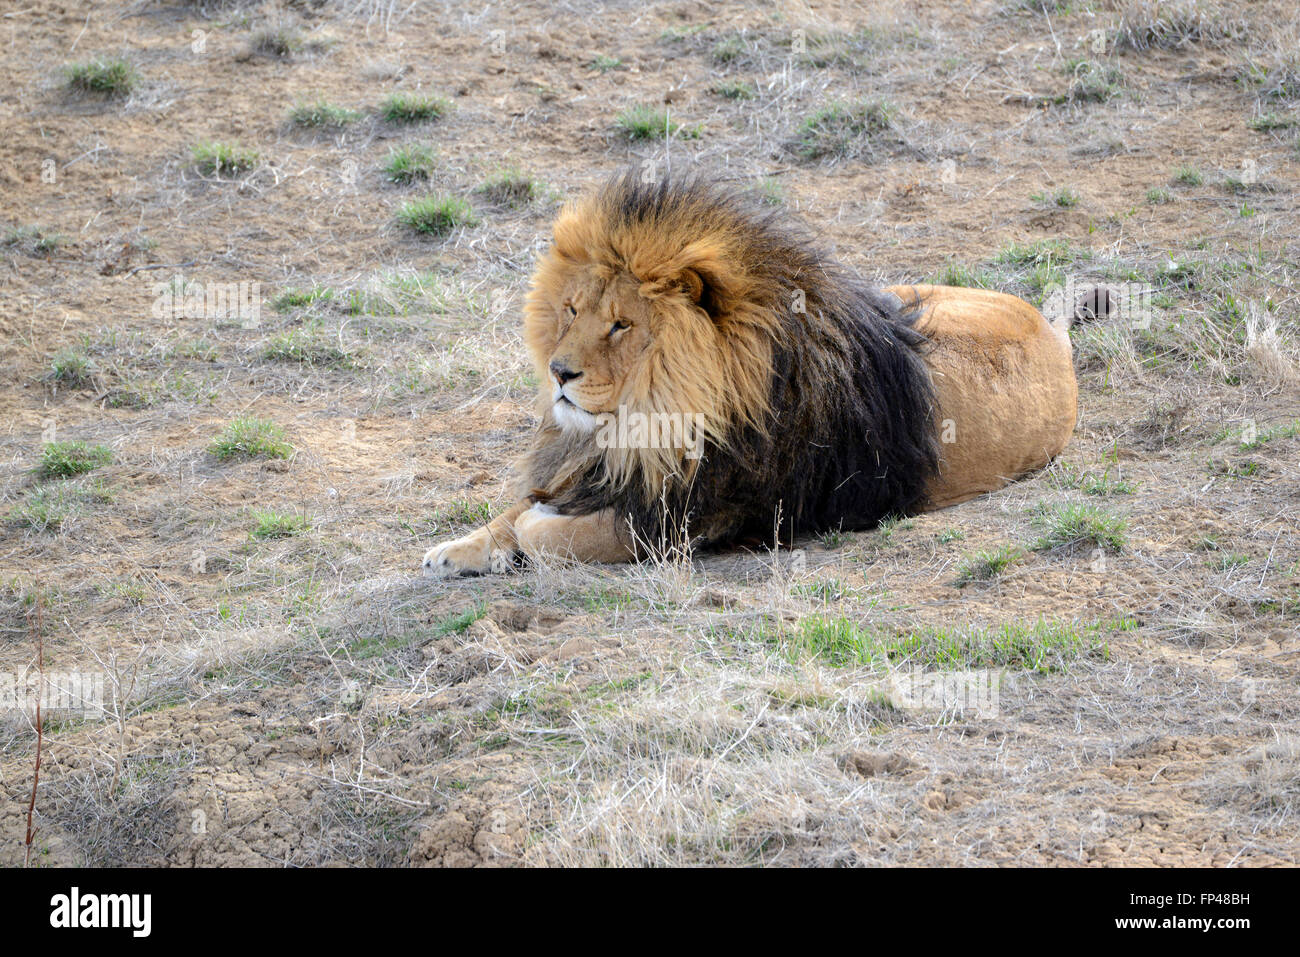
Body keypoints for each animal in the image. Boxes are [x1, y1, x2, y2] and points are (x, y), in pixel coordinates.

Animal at [422, 173, 1076, 577]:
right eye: (572, 311)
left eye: (622, 325)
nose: (560, 372)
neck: (645, 421)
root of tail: (1049, 325)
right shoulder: (593, 472)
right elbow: (510, 512)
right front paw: (456, 550)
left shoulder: (682, 521)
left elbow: (552, 534)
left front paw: (532, 531)